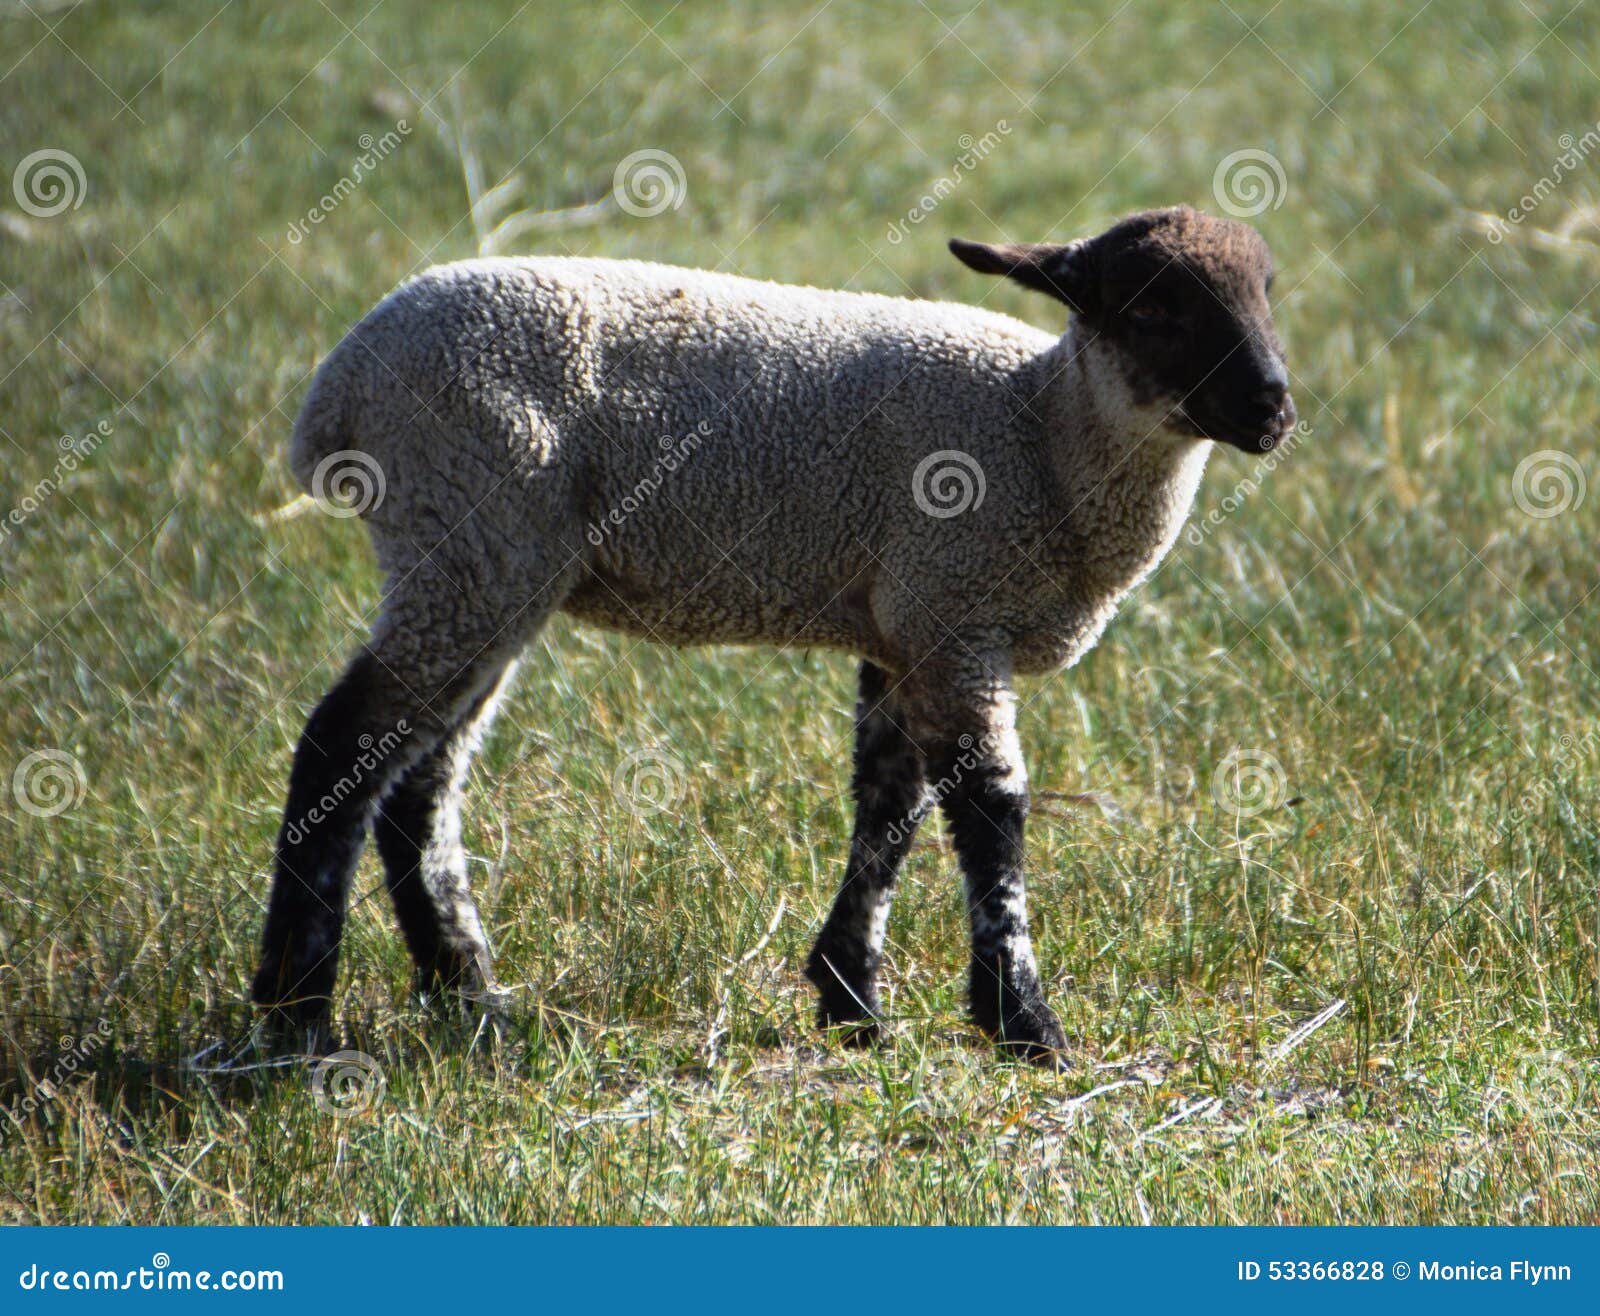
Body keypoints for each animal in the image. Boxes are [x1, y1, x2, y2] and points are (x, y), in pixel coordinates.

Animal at [253, 204, 1295, 1065]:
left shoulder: (902, 627)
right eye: (1153, 306)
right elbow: (992, 817)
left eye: (1267, 292)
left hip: (485, 569)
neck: (1043, 433)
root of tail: (336, 390)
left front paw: (852, 1001)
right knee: (343, 744)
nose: (1274, 408)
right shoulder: (955, 609)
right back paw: (297, 1012)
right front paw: (1023, 1024)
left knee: (419, 781)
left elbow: (888, 809)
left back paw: (468, 994)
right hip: (470, 530)